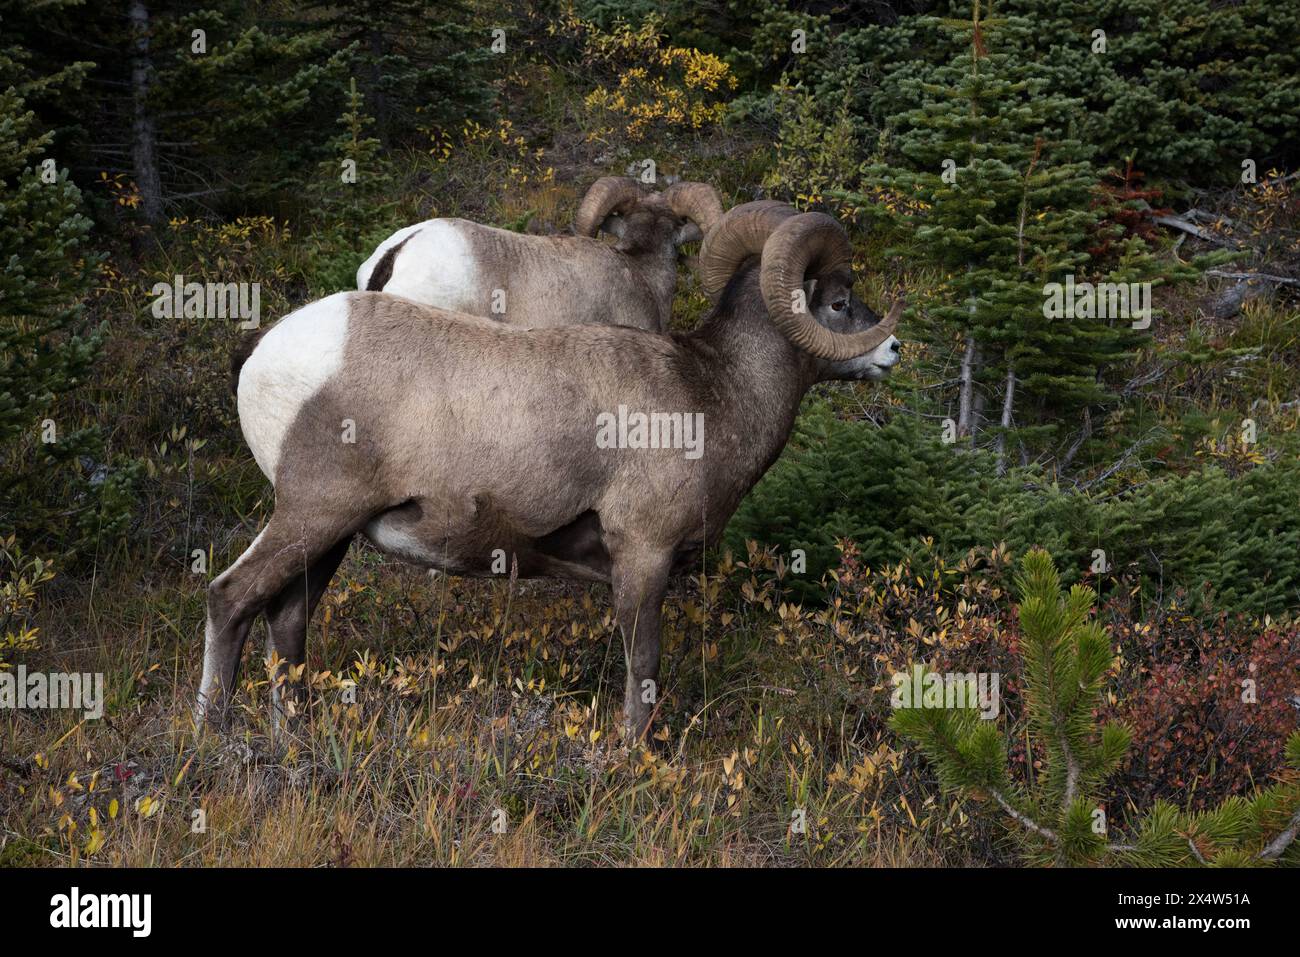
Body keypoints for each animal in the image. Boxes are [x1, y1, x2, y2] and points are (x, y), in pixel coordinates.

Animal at [199, 200, 903, 740]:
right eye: (840, 301)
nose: (892, 349)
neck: (714, 392)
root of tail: (266, 346)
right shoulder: (643, 555)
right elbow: (643, 668)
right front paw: (632, 756)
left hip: (332, 536)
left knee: (287, 620)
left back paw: (293, 735)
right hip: (312, 515)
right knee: (230, 597)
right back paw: (213, 736)